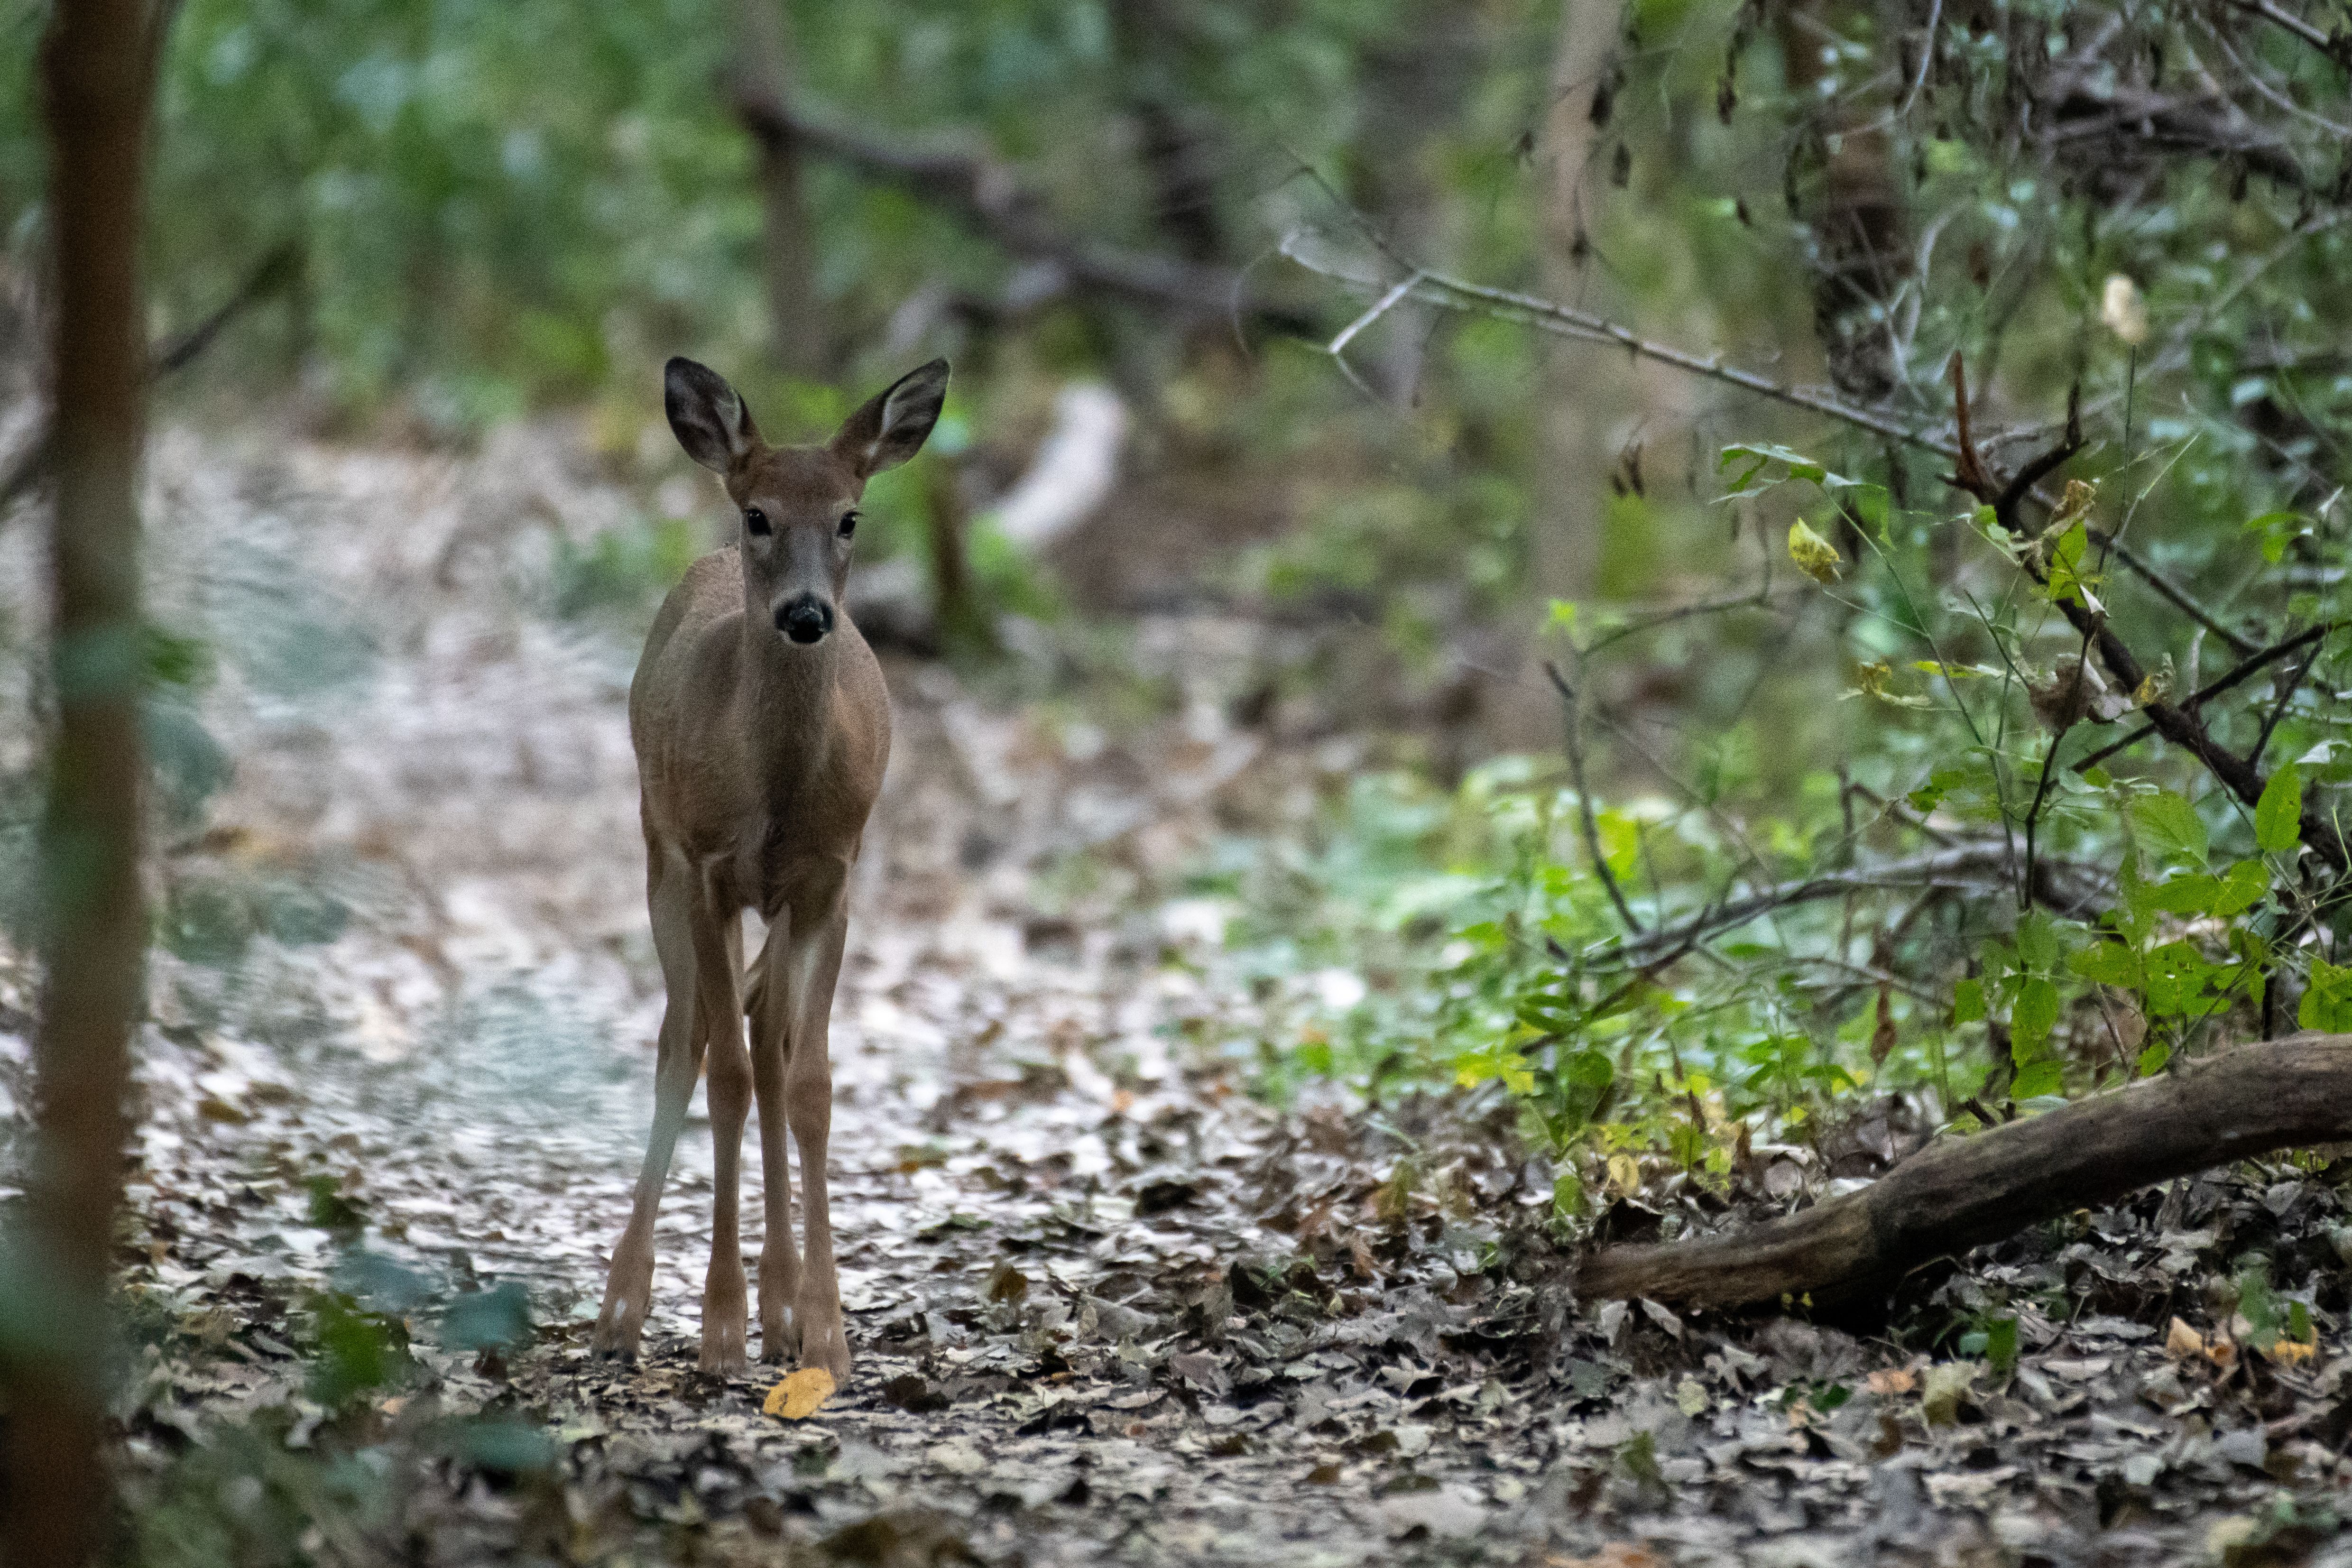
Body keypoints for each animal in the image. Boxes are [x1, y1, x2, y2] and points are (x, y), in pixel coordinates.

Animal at [591, 354, 948, 1381]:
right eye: (758, 515)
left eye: (851, 517)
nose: (805, 615)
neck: (776, 788)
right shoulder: (709, 866)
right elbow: (725, 1080)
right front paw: (719, 1329)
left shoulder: (831, 876)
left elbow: (808, 1082)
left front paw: (826, 1332)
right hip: (657, 850)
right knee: (685, 1043)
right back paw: (623, 1309)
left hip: (778, 899)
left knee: (761, 1029)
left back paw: (782, 1310)